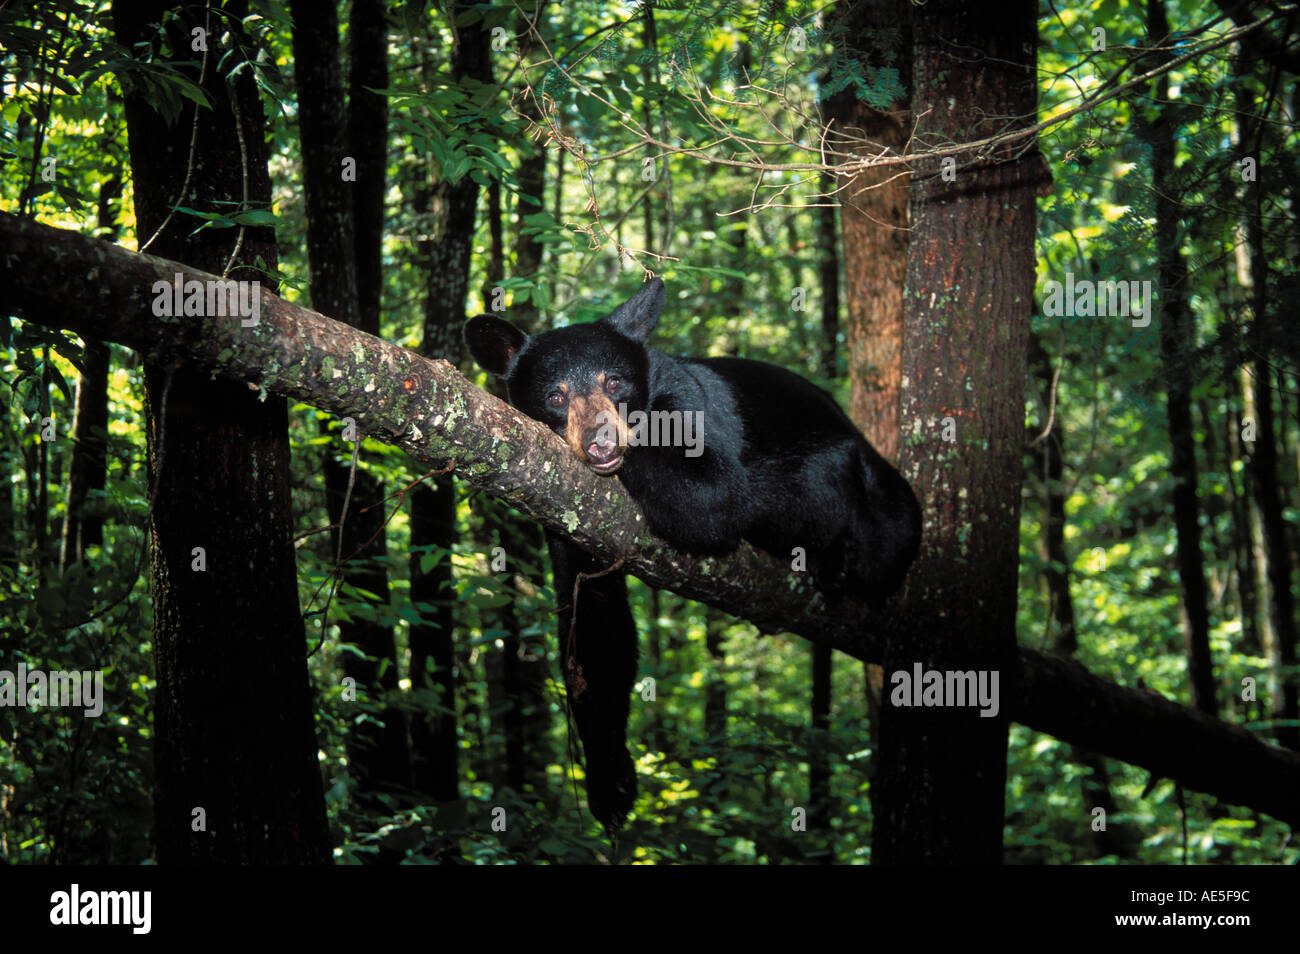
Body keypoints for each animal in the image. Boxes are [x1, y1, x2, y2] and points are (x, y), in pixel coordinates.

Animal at [464, 278, 921, 829]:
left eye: (614, 382)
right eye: (555, 395)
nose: (600, 443)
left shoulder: (687, 403)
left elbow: (713, 497)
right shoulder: (568, 515)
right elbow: (597, 629)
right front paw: (610, 781)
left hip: (872, 504)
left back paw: (832, 563)